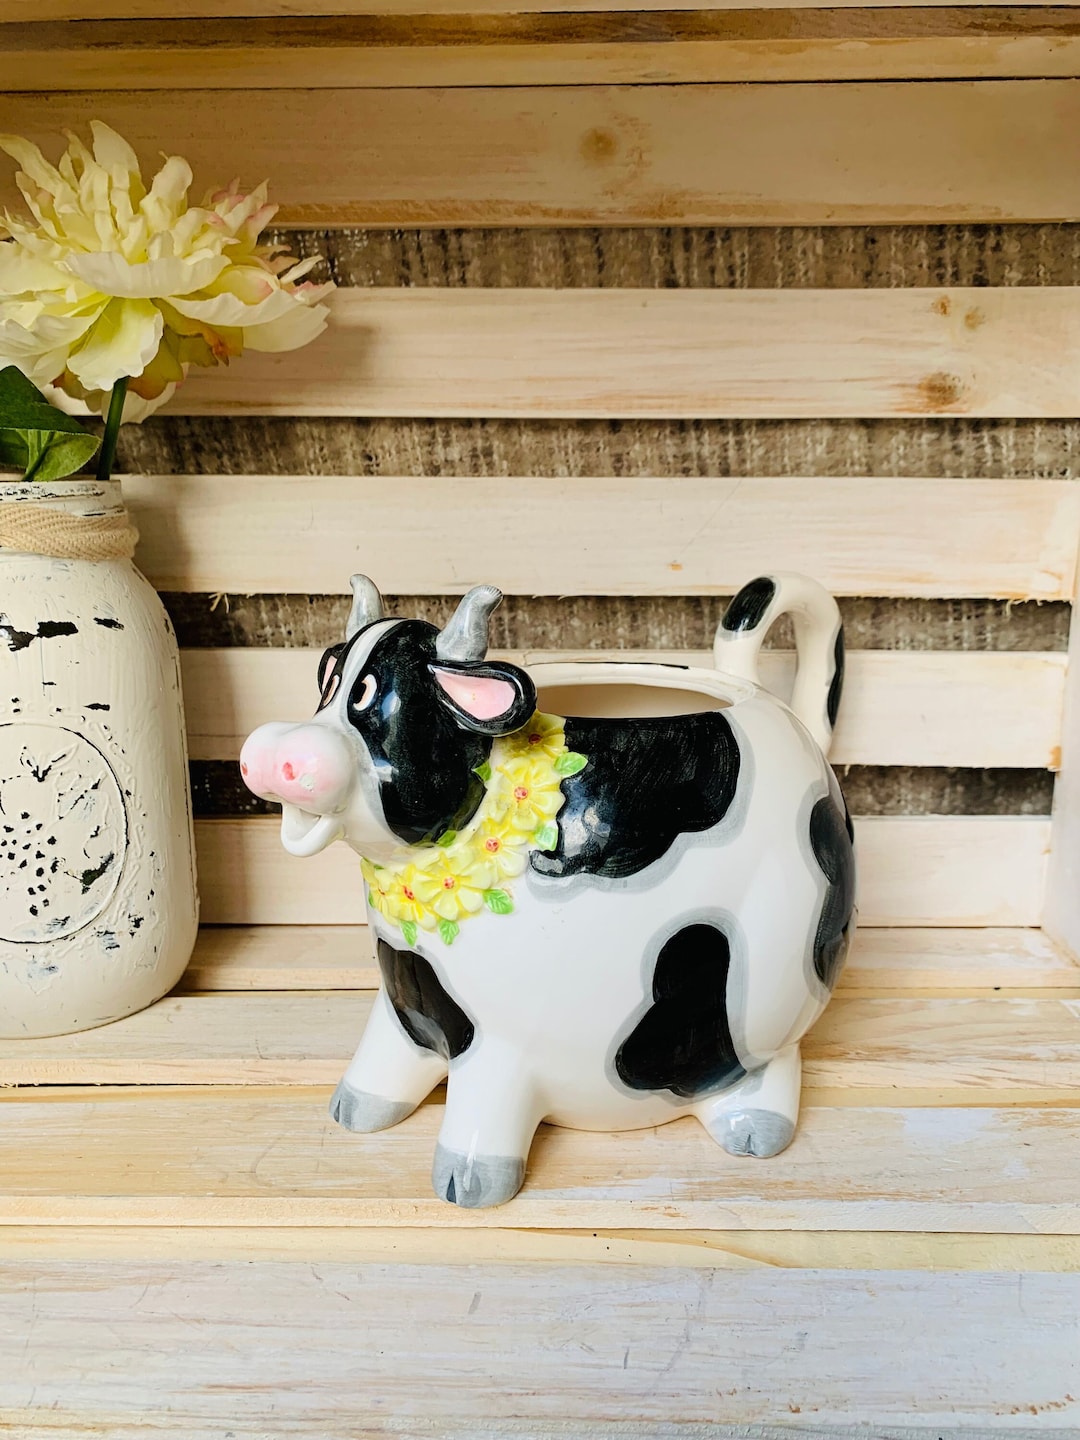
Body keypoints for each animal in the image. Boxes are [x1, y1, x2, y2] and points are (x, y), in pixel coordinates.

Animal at [240, 573, 856, 1208]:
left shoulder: (501, 1044)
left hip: (778, 983)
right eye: (328, 684)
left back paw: (754, 1130)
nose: (270, 751)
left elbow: (483, 1100)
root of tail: (756, 691)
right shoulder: (400, 992)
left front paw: (467, 1183)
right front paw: (353, 1111)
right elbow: (384, 1048)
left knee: (773, 1058)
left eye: (366, 696)